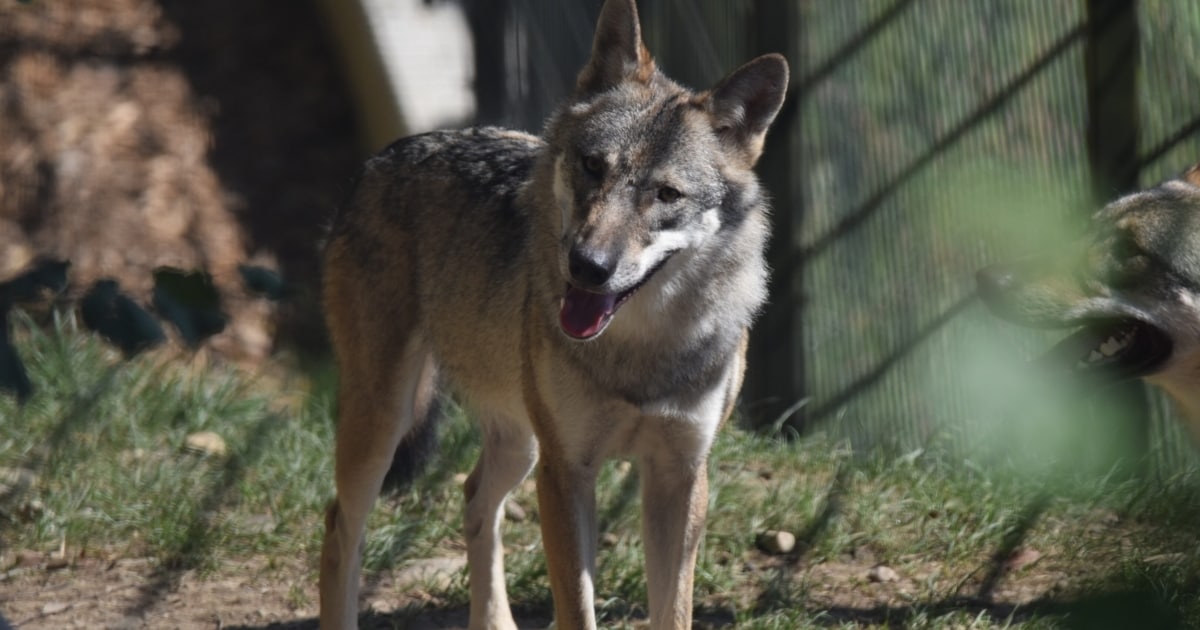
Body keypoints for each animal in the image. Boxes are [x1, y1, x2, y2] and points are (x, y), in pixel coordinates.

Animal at [317, 0, 789, 628]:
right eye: (592, 166)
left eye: (666, 195)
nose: (586, 266)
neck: (639, 350)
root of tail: (385, 154)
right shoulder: (567, 472)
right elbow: (578, 609)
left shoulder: (682, 473)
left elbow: (674, 610)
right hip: (388, 423)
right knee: (339, 528)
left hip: (520, 444)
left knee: (472, 498)